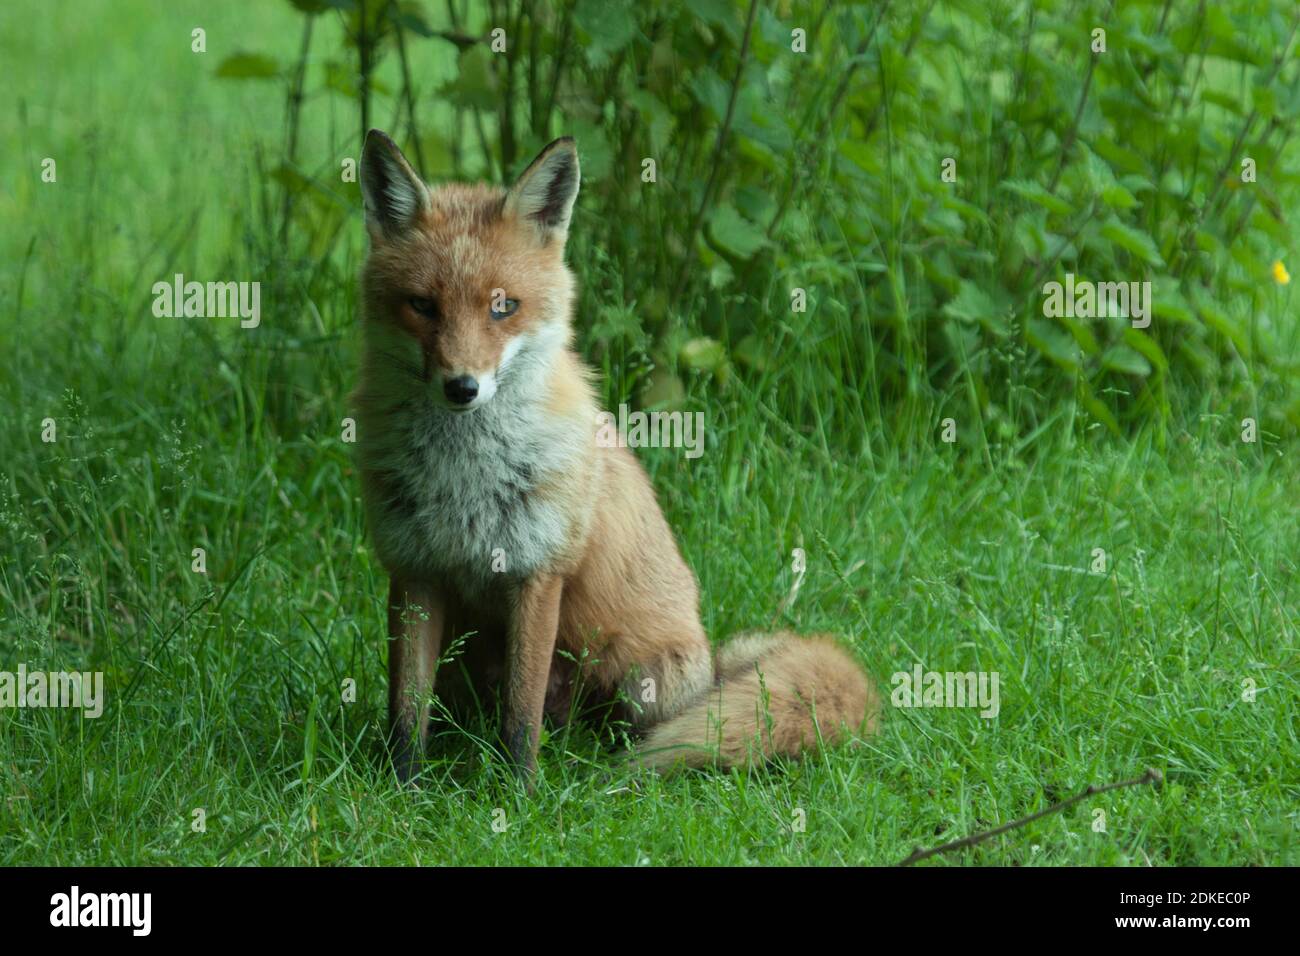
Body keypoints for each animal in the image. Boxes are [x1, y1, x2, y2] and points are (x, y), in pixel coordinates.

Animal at [352, 129, 880, 784]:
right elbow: (405, 709)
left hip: (644, 681)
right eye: (423, 306)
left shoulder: (539, 569)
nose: (462, 388)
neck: (463, 477)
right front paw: (400, 786)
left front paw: (516, 792)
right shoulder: (413, 570)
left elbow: (521, 715)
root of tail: (712, 657)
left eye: (504, 307)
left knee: (618, 729)